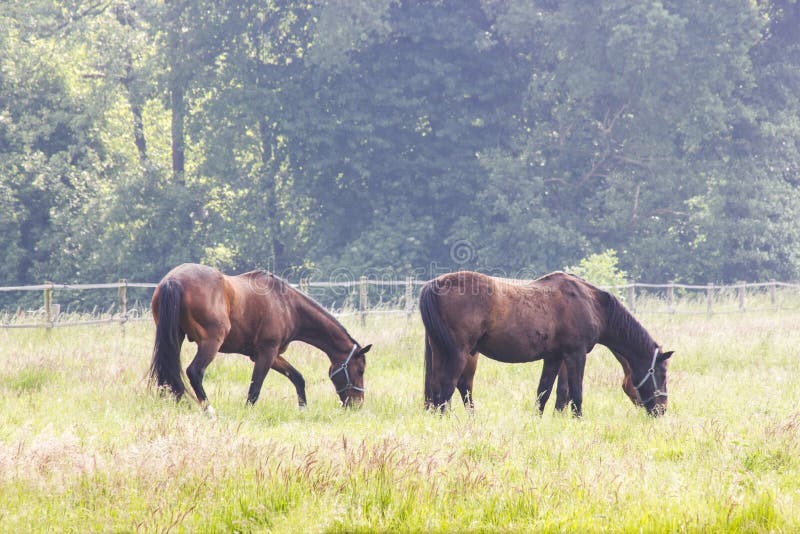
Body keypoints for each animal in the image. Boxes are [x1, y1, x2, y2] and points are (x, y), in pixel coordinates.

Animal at [148, 263, 371, 413]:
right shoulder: (267, 353)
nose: (358, 404)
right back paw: (209, 410)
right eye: (360, 370)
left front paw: (302, 409)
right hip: (211, 343)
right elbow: (255, 389)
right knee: (194, 371)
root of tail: (173, 281)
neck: (286, 304)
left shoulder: (267, 354)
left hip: (174, 338)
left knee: (169, 373)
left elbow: (297, 377)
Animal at [420, 271, 672, 417]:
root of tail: (433, 285)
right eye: (661, 374)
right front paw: (577, 420)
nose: (662, 410)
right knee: (448, 388)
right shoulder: (576, 354)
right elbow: (575, 392)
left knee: (438, 389)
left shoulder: (554, 357)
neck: (591, 303)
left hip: (440, 352)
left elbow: (546, 391)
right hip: (459, 354)